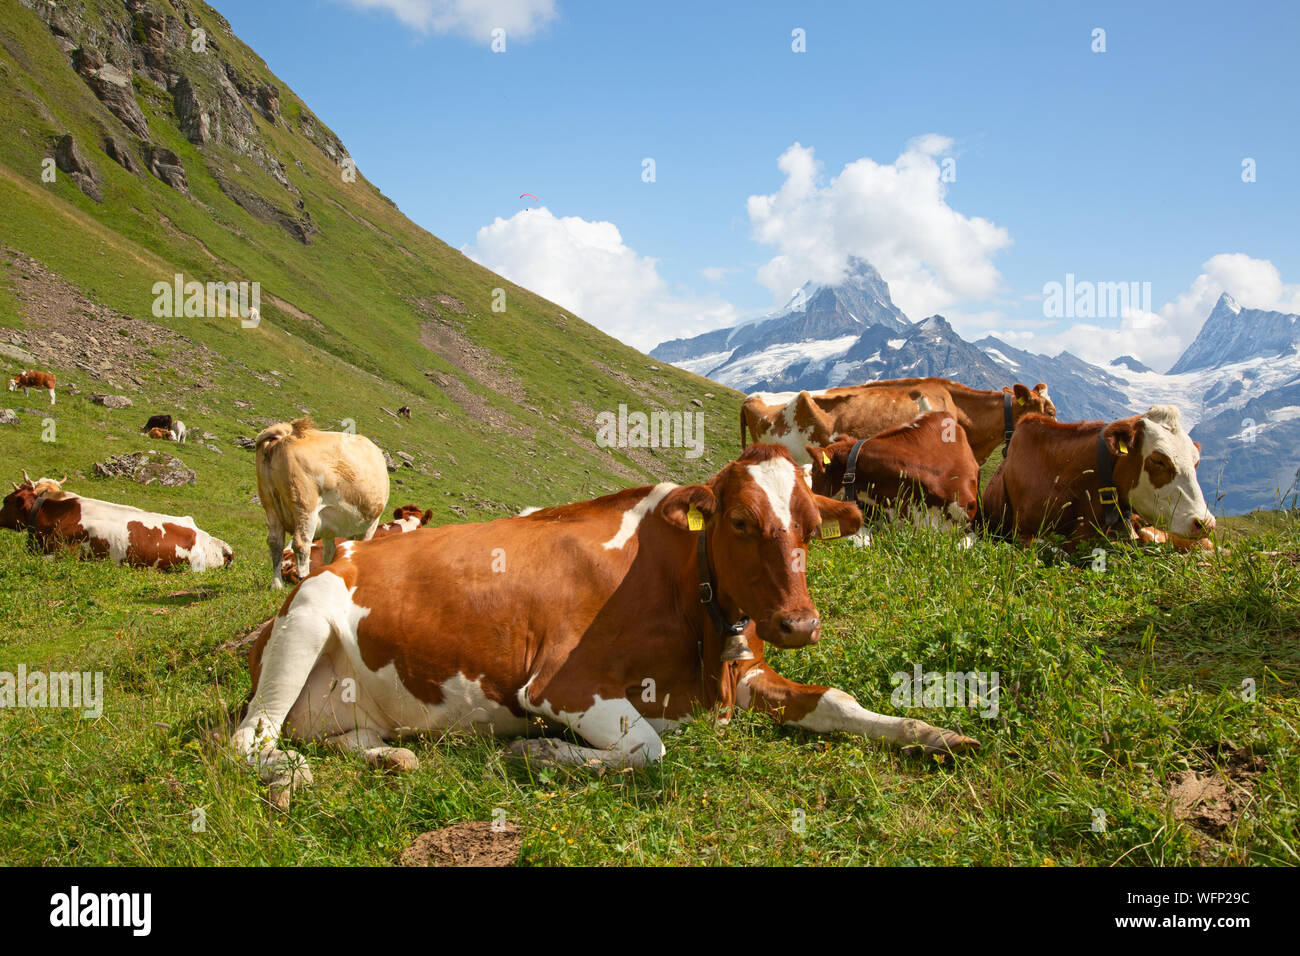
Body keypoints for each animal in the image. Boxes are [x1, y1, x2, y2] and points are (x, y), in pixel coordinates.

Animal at [255, 418, 390, 588]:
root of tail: (287, 432)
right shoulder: (370, 525)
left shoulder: (328, 530)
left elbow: (329, 553)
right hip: (305, 505)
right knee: (301, 544)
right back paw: (302, 579)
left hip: (269, 502)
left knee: (275, 542)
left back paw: (277, 585)